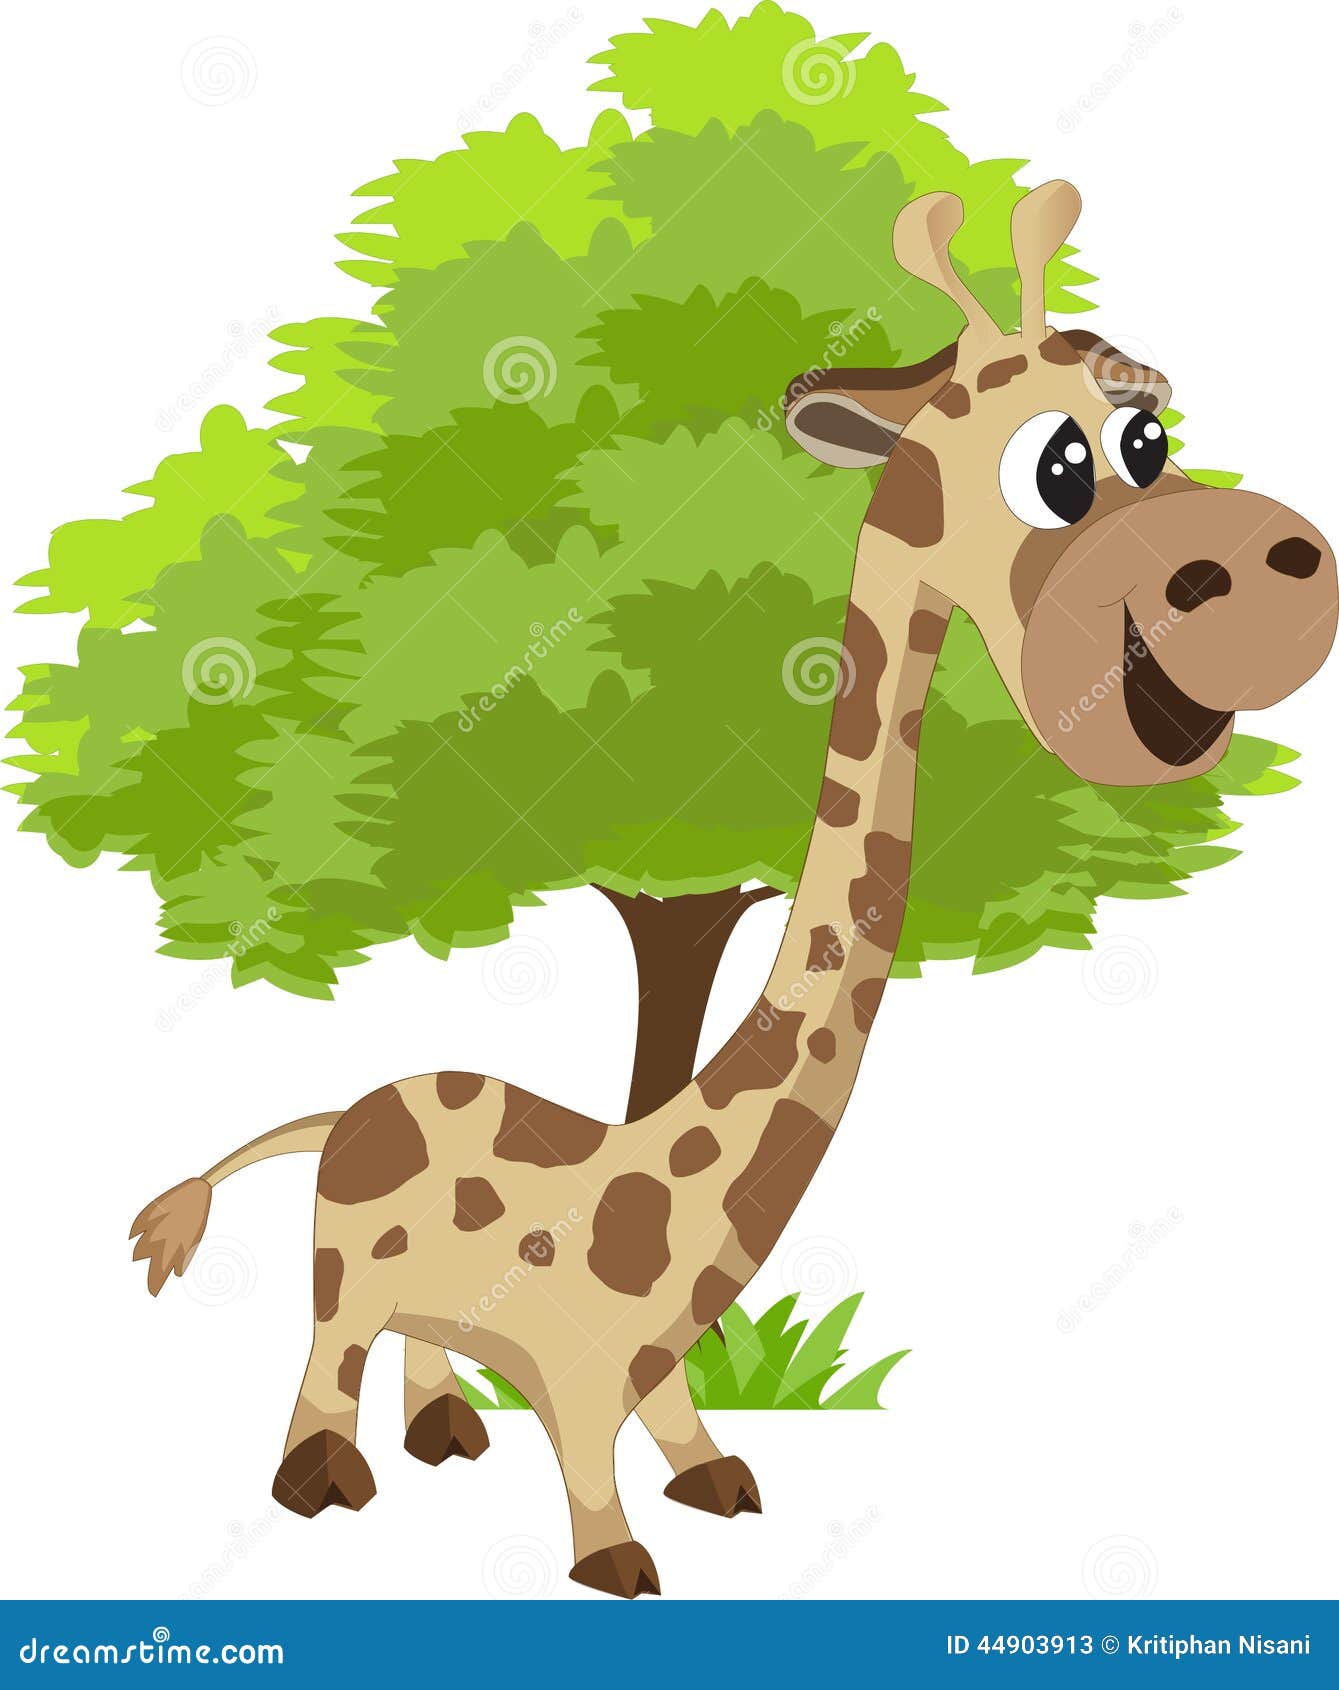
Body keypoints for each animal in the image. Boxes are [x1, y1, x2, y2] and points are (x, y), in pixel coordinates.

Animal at [130, 182, 1337, 1598]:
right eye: (1058, 466)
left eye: (1149, 438)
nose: (1279, 567)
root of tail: (357, 1102)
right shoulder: (579, 1365)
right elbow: (591, 1469)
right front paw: (613, 1550)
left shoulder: (646, 1351)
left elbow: (684, 1432)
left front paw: (710, 1476)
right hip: (339, 1262)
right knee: (331, 1348)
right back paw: (324, 1479)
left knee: (420, 1345)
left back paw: (445, 1432)